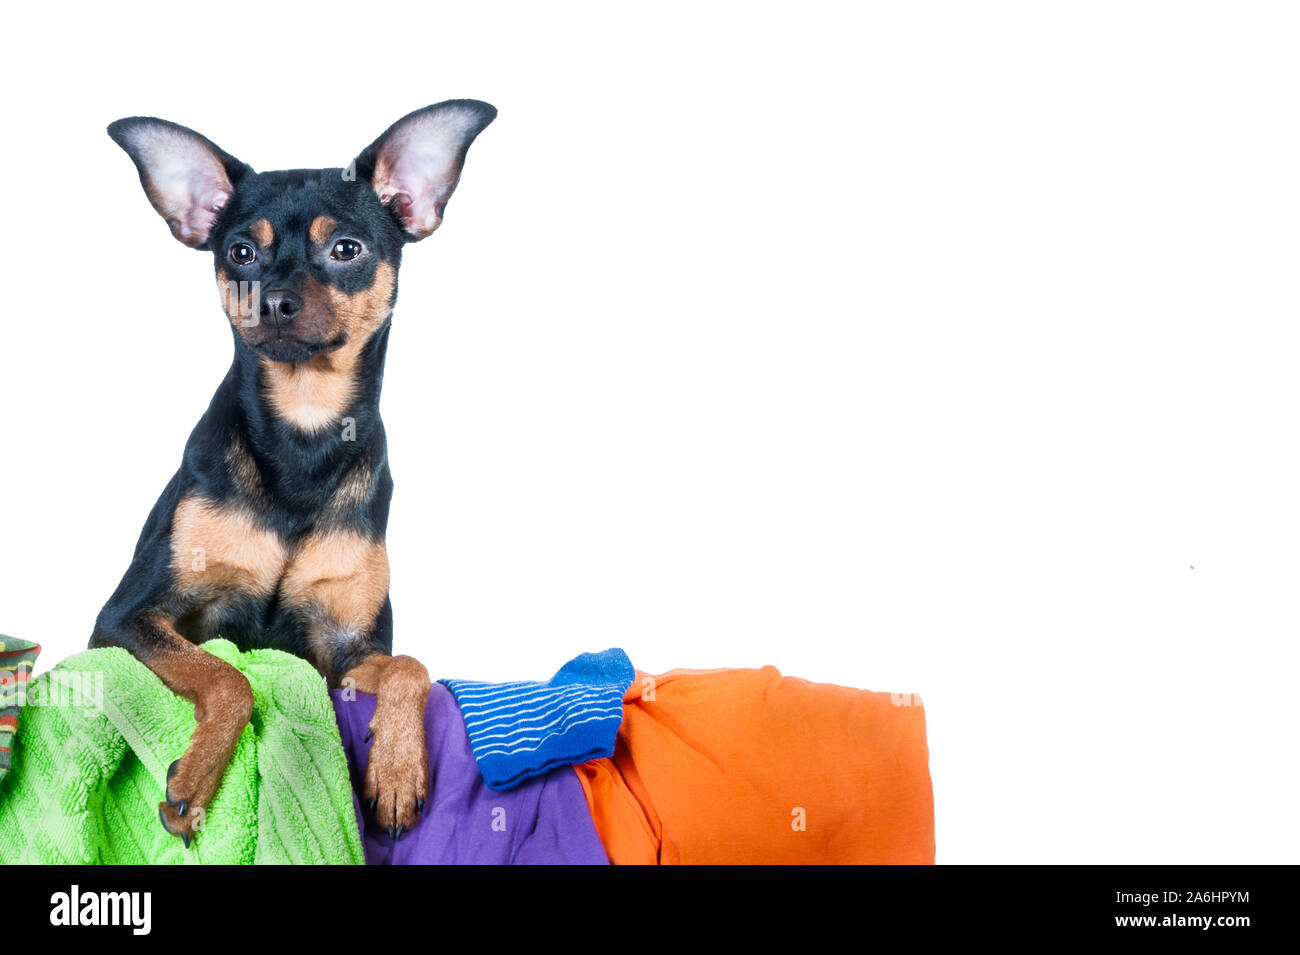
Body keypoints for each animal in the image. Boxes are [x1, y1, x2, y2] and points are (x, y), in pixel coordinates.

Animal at [91, 98, 496, 841]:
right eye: (239, 253)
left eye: (347, 249)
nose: (273, 299)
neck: (304, 434)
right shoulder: (127, 620)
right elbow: (230, 676)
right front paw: (197, 778)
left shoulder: (341, 651)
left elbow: (411, 667)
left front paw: (398, 772)